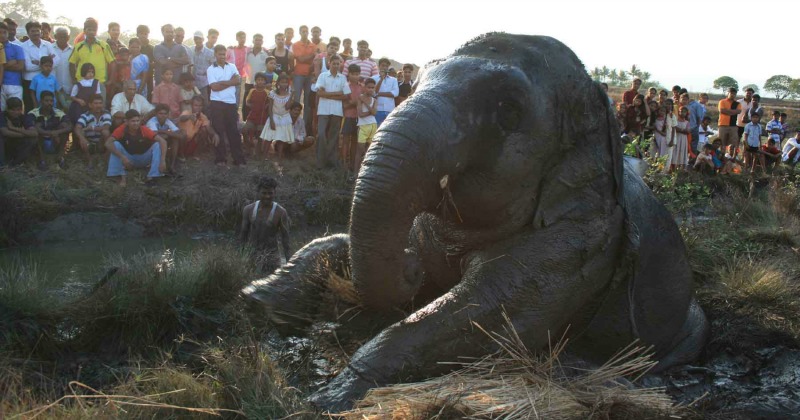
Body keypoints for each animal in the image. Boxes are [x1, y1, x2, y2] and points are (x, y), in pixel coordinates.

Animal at [242, 33, 709, 412]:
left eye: (508, 109)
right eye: (415, 80)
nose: (409, 268)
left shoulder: (583, 241)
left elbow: (493, 312)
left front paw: (331, 398)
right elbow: (337, 242)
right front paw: (257, 301)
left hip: (688, 329)